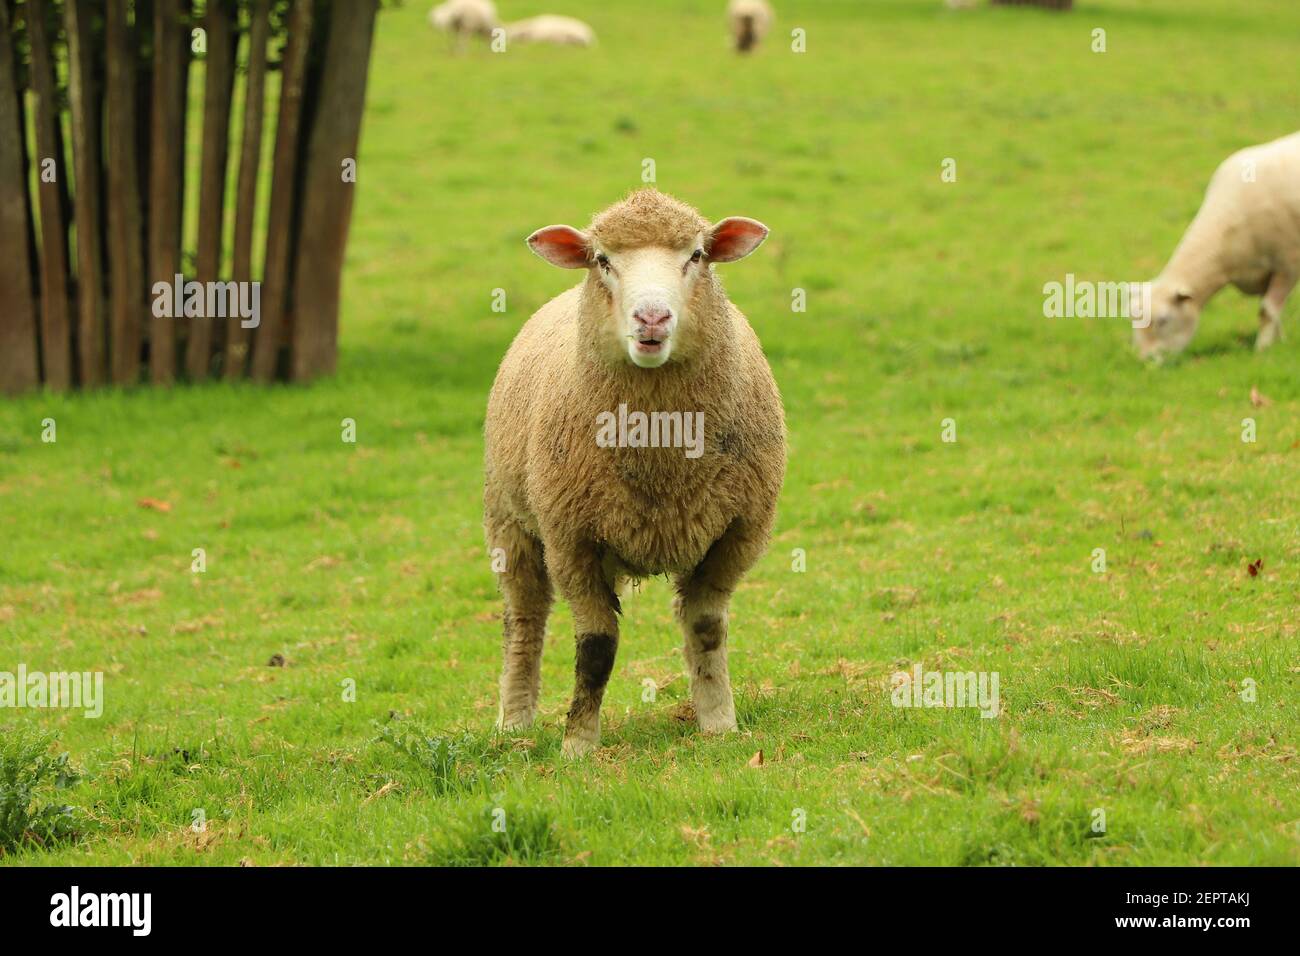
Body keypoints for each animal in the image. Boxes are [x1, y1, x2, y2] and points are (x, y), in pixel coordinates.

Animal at [484, 189, 786, 757]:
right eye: (603, 260)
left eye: (697, 255)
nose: (652, 318)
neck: (660, 452)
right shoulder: (571, 539)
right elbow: (597, 647)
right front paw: (578, 745)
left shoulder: (738, 532)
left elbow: (706, 628)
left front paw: (719, 722)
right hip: (509, 520)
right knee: (524, 618)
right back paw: (514, 721)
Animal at [1133, 131, 1300, 359]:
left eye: (1163, 321)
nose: (1145, 361)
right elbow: (1274, 311)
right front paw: (1279, 341)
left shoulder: (1288, 264)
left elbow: (1268, 310)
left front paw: (1262, 349)